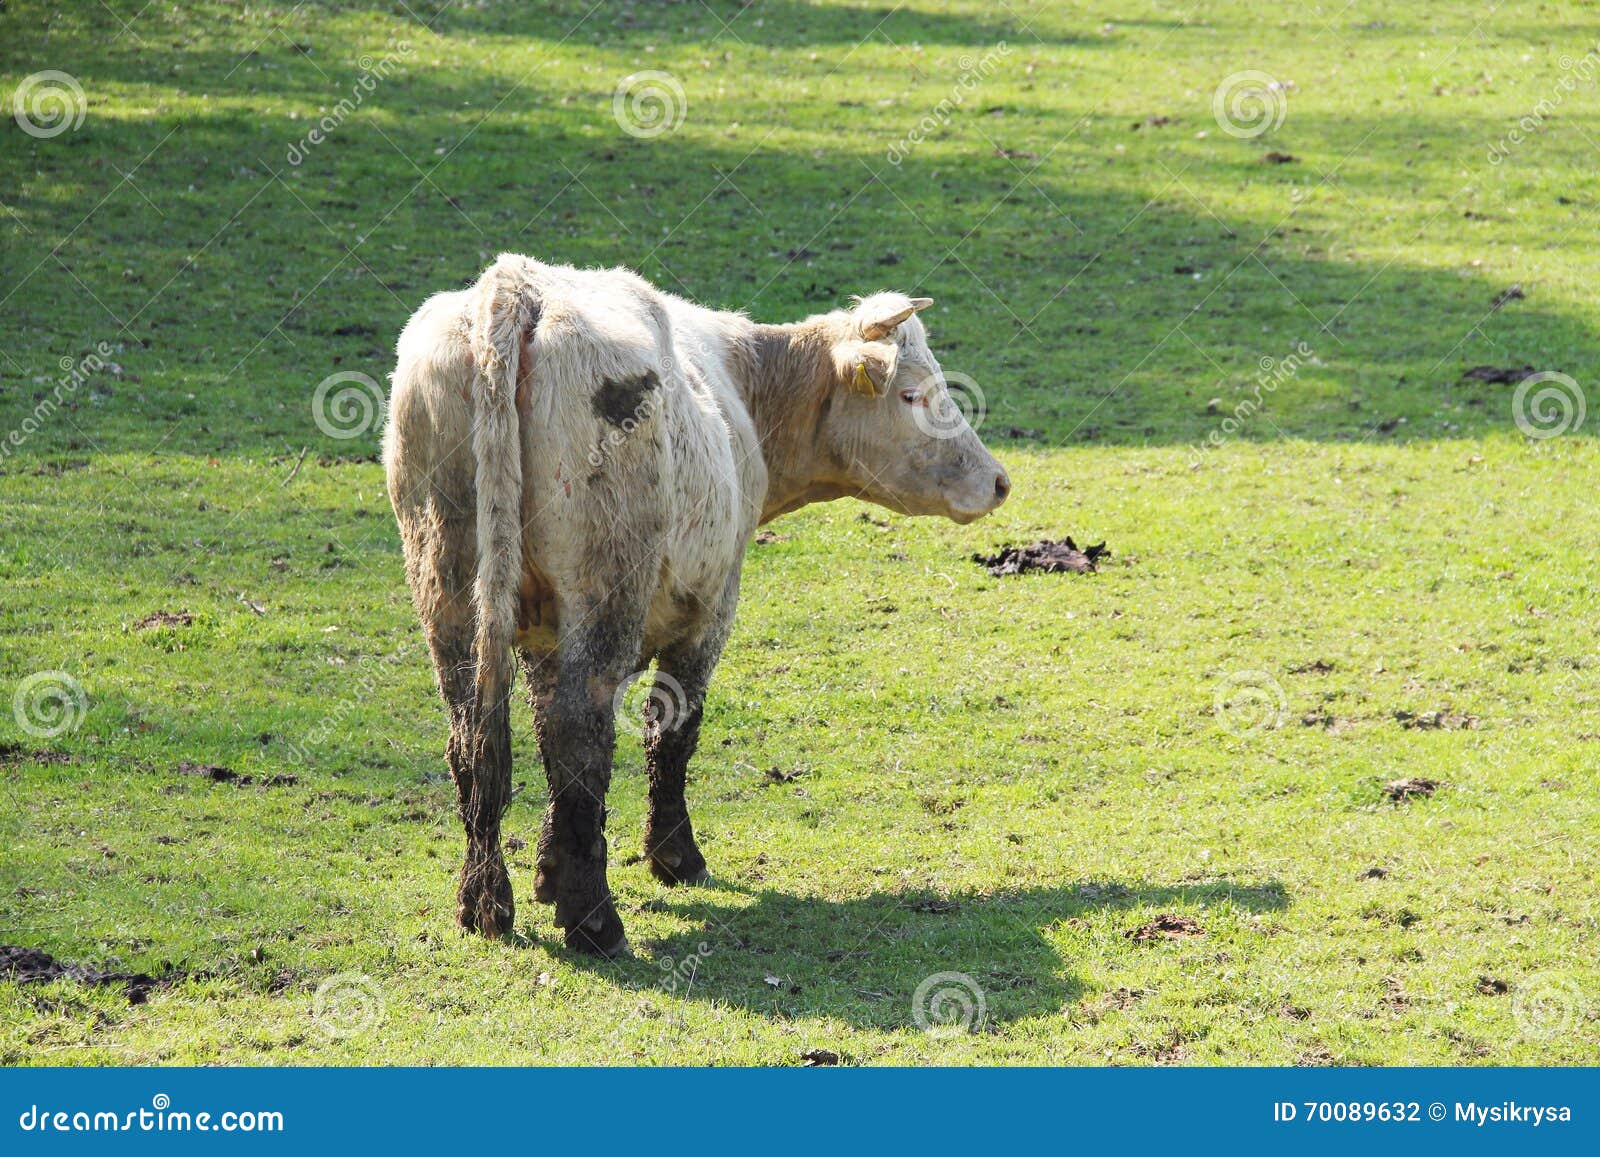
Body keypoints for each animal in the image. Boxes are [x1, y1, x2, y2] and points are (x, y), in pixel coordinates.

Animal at [383, 253, 1009, 956]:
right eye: (913, 394)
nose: (998, 481)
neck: (743, 383)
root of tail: (515, 286)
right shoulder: (712, 605)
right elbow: (672, 731)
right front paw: (673, 859)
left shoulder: (548, 634)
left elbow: (548, 743)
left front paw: (548, 870)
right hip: (606, 589)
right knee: (581, 733)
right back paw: (595, 921)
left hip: (449, 588)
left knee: (477, 740)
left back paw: (484, 903)